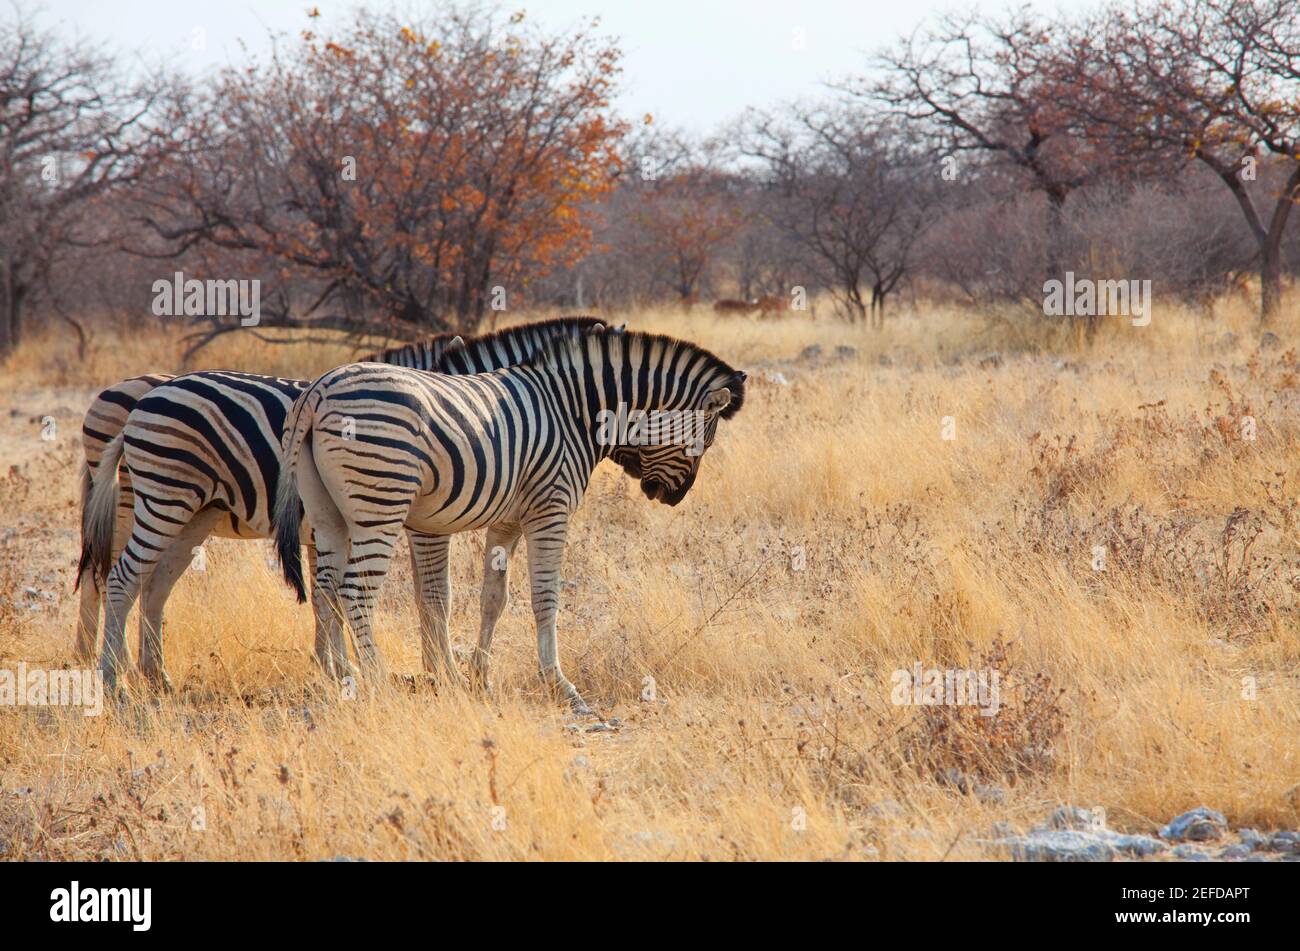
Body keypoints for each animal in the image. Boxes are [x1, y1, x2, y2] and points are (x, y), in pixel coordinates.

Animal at [79, 318, 615, 692]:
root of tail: (123, 396)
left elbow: (330, 598)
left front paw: (339, 667)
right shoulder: (422, 526)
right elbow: (429, 596)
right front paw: (436, 670)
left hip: (186, 513)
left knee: (133, 581)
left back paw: (139, 673)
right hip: (148, 501)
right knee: (112, 578)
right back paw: (109, 672)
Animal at [272, 325, 745, 714]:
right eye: (705, 440)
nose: (672, 497)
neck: (573, 409)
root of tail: (318, 389)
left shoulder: (509, 520)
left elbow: (492, 598)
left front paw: (478, 679)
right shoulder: (549, 510)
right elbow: (544, 598)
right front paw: (559, 685)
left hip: (328, 515)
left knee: (326, 591)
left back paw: (345, 683)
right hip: (381, 504)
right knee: (356, 594)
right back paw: (379, 687)